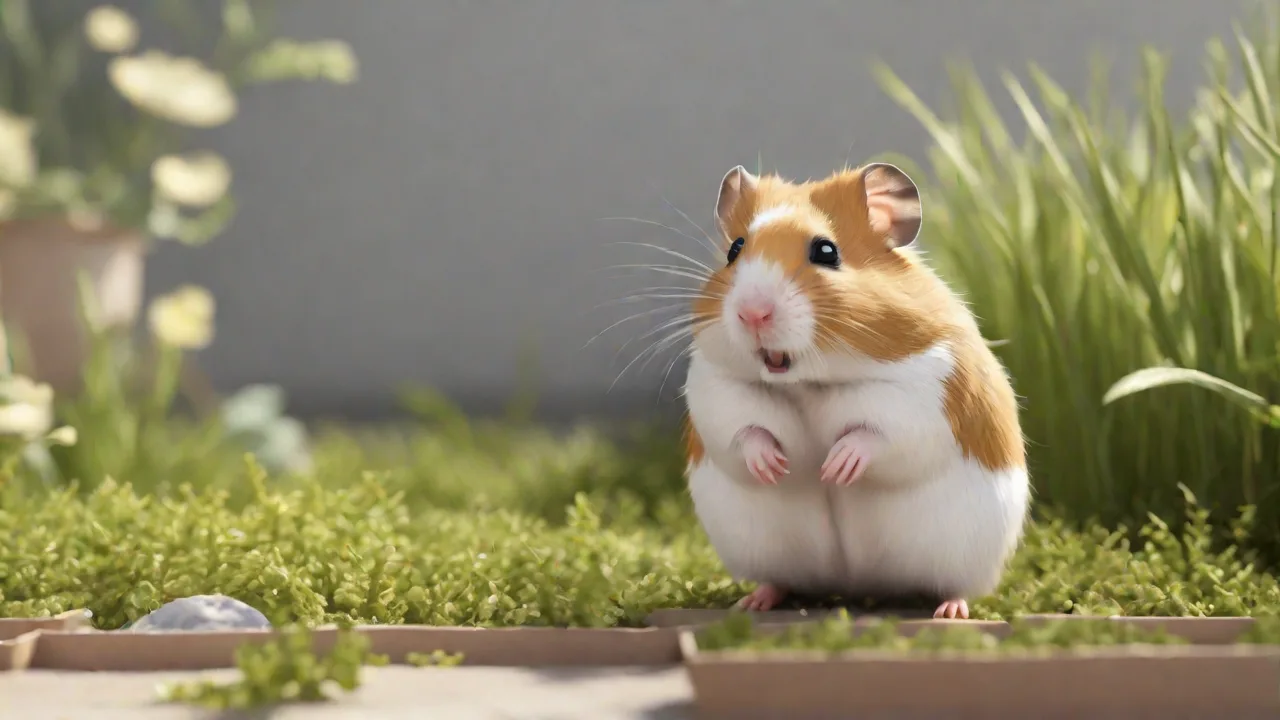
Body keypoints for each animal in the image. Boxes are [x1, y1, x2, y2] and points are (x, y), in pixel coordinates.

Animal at [680, 162, 1029, 619]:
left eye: (826, 252)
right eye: (734, 250)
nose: (752, 313)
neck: (808, 382)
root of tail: (857, 586)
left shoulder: (924, 392)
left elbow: (877, 433)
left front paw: (836, 468)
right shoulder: (715, 386)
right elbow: (744, 429)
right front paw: (774, 467)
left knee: (957, 587)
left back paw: (950, 611)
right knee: (779, 580)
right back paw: (753, 602)